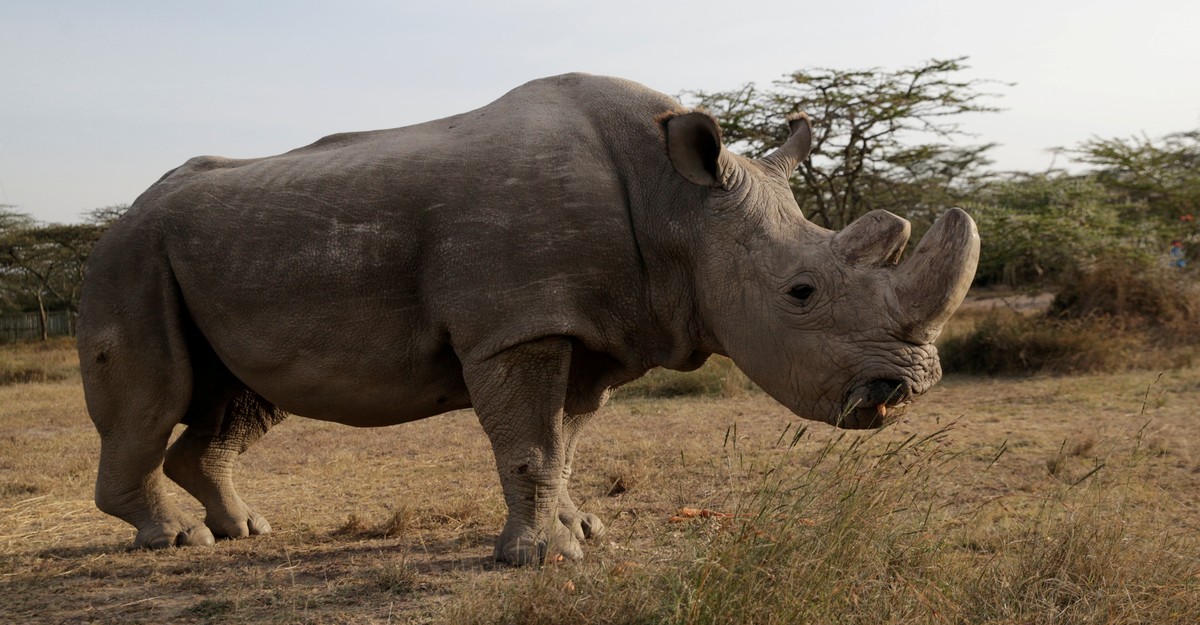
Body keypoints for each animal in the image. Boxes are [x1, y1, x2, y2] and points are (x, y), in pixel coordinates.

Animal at [78, 73, 978, 565]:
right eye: (801, 292)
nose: (909, 388)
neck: (679, 204)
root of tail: (122, 214)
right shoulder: (517, 326)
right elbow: (530, 444)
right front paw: (540, 558)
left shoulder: (592, 327)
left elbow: (564, 443)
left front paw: (584, 529)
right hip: (130, 257)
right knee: (155, 393)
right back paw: (177, 540)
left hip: (207, 255)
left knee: (237, 400)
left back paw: (244, 530)